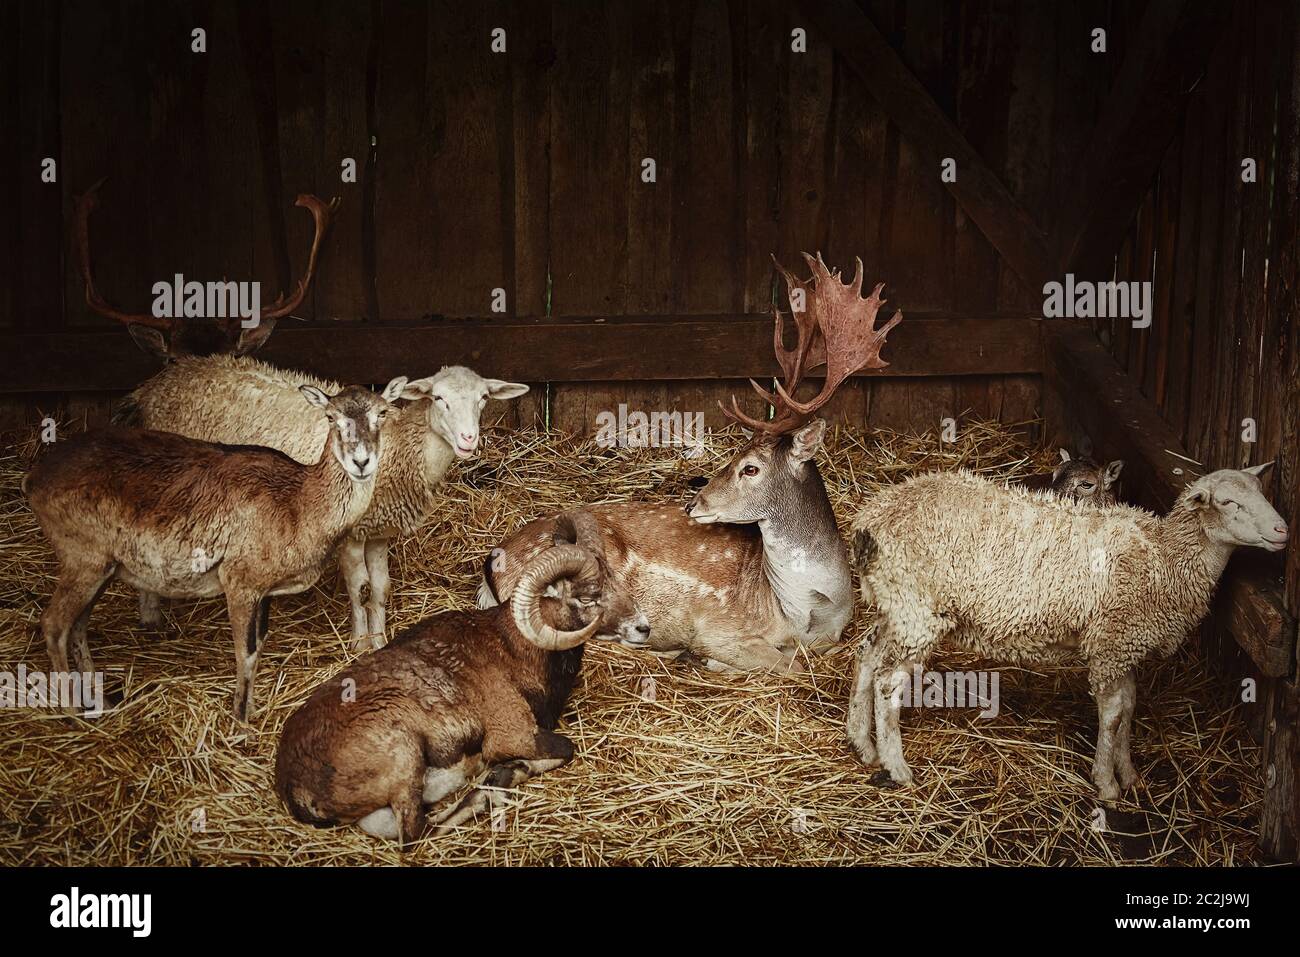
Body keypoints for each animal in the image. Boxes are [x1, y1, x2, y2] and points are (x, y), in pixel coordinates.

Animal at [25, 378, 406, 720]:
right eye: (330, 416)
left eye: (382, 413)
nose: (361, 462)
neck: (299, 502)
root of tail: (35, 478)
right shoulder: (239, 580)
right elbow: (246, 652)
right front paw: (241, 720)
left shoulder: (264, 590)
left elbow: (259, 645)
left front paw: (251, 709)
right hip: (81, 558)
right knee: (54, 625)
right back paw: (72, 712)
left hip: (102, 567)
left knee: (77, 626)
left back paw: (100, 700)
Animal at [115, 354, 529, 649]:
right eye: (438, 398)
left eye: (483, 398)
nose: (468, 440)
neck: (400, 452)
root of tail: (160, 380)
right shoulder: (348, 533)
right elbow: (360, 589)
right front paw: (359, 644)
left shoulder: (379, 530)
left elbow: (381, 588)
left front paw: (380, 639)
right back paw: (151, 616)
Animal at [274, 511, 649, 846]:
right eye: (588, 596)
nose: (643, 628)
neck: (517, 651)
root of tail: (294, 784)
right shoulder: (513, 736)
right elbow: (565, 748)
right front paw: (506, 770)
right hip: (404, 755)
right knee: (418, 832)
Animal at [846, 464, 1287, 801]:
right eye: (1229, 503)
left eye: (1263, 494)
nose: (1283, 529)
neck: (1165, 559)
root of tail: (871, 518)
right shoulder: (1112, 644)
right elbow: (1113, 715)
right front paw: (1107, 784)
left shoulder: (1124, 645)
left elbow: (1130, 706)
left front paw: (1130, 774)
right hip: (917, 609)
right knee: (888, 683)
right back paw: (897, 766)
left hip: (897, 606)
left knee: (867, 656)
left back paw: (863, 744)